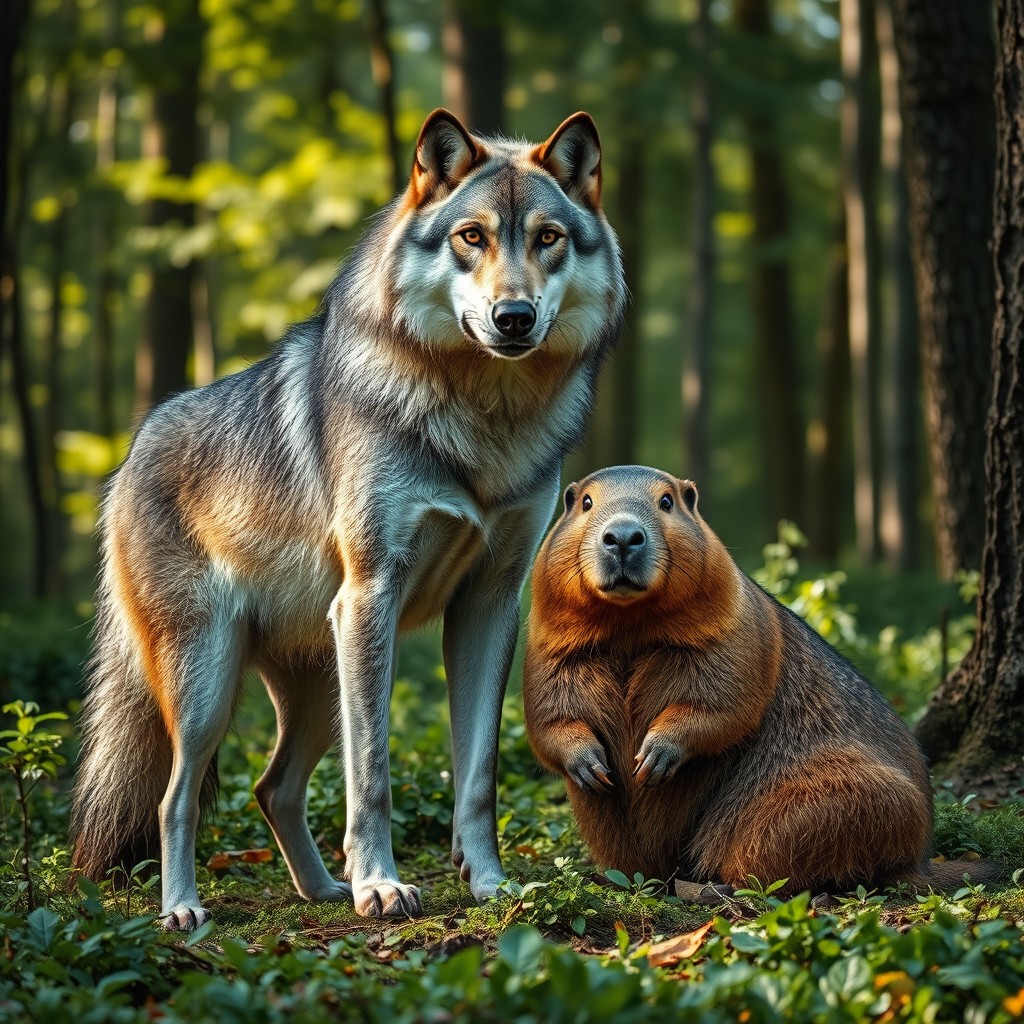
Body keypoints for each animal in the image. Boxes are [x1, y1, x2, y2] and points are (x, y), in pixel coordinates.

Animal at [69, 109, 624, 928]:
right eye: (473, 236)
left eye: (548, 237)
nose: (514, 316)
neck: (481, 422)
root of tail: (131, 452)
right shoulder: (371, 594)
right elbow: (375, 773)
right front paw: (381, 886)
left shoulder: (491, 603)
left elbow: (478, 775)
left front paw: (489, 886)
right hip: (214, 684)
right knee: (177, 797)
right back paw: (185, 909)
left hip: (321, 679)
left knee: (271, 787)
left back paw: (322, 891)